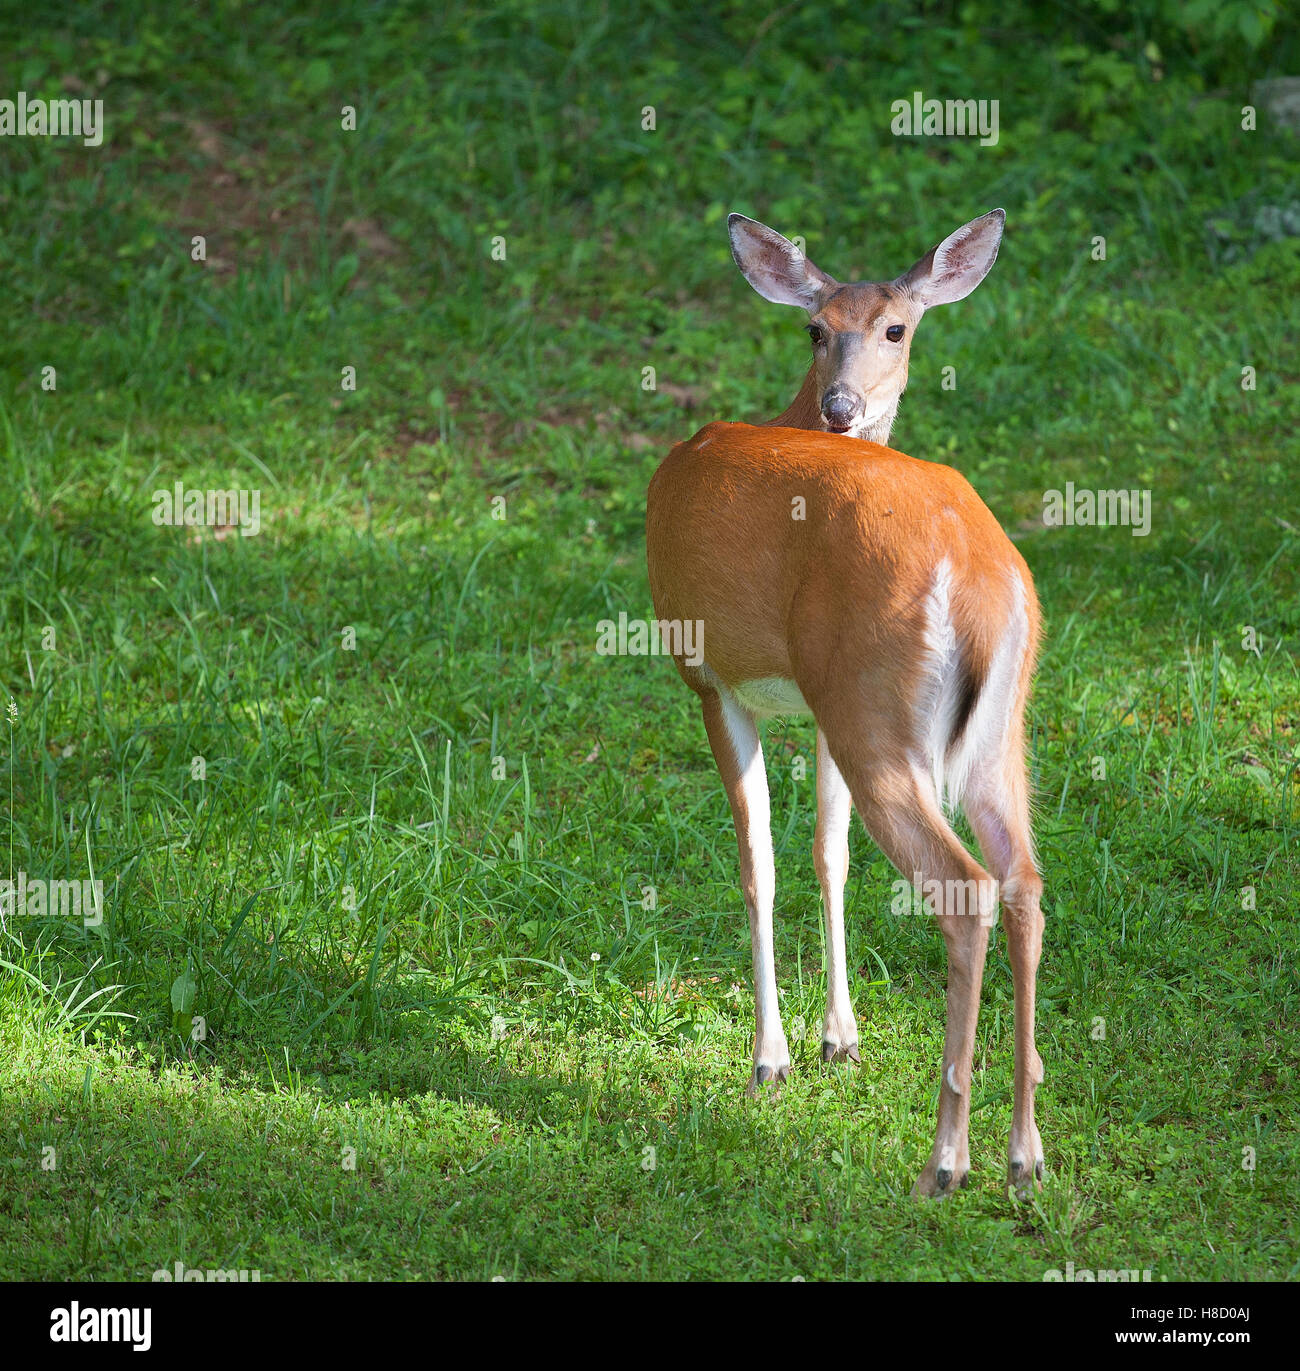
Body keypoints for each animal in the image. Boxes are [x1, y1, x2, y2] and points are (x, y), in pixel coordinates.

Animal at [645, 210, 1045, 1198]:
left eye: (898, 328)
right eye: (815, 329)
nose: (841, 408)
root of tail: (978, 571)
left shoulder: (711, 677)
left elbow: (758, 859)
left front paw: (770, 1058)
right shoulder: (818, 704)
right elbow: (829, 854)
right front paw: (840, 1038)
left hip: (879, 712)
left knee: (968, 891)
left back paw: (946, 1159)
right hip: (980, 728)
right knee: (1024, 879)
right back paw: (1025, 1155)